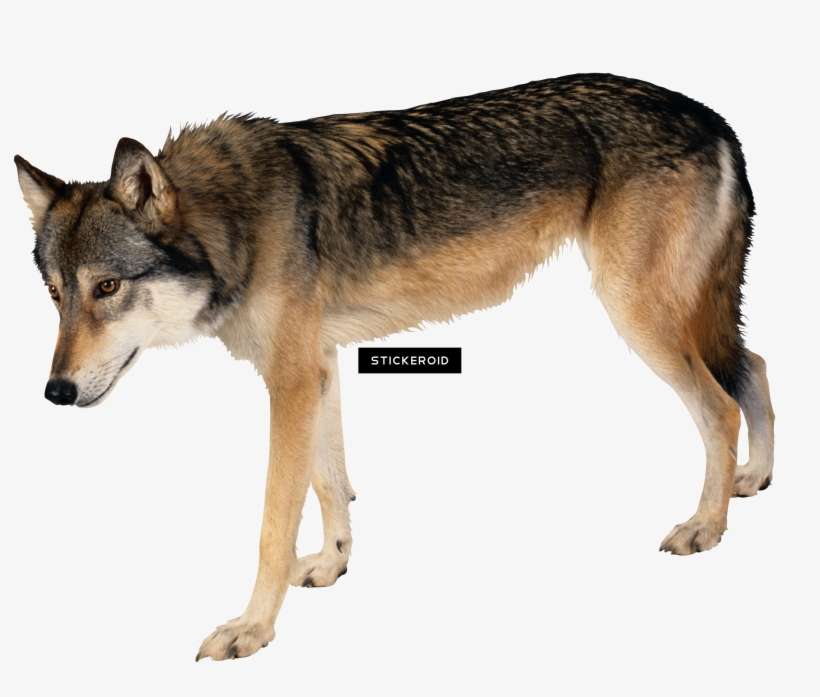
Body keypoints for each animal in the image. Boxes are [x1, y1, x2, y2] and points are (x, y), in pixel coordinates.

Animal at [15, 73, 775, 660]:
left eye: (107, 287)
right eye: (55, 293)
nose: (54, 391)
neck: (236, 219)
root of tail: (712, 116)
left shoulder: (290, 381)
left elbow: (272, 525)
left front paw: (253, 629)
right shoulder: (317, 367)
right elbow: (331, 485)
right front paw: (331, 563)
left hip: (637, 313)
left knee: (721, 405)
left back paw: (705, 528)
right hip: (682, 316)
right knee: (757, 366)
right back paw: (753, 479)